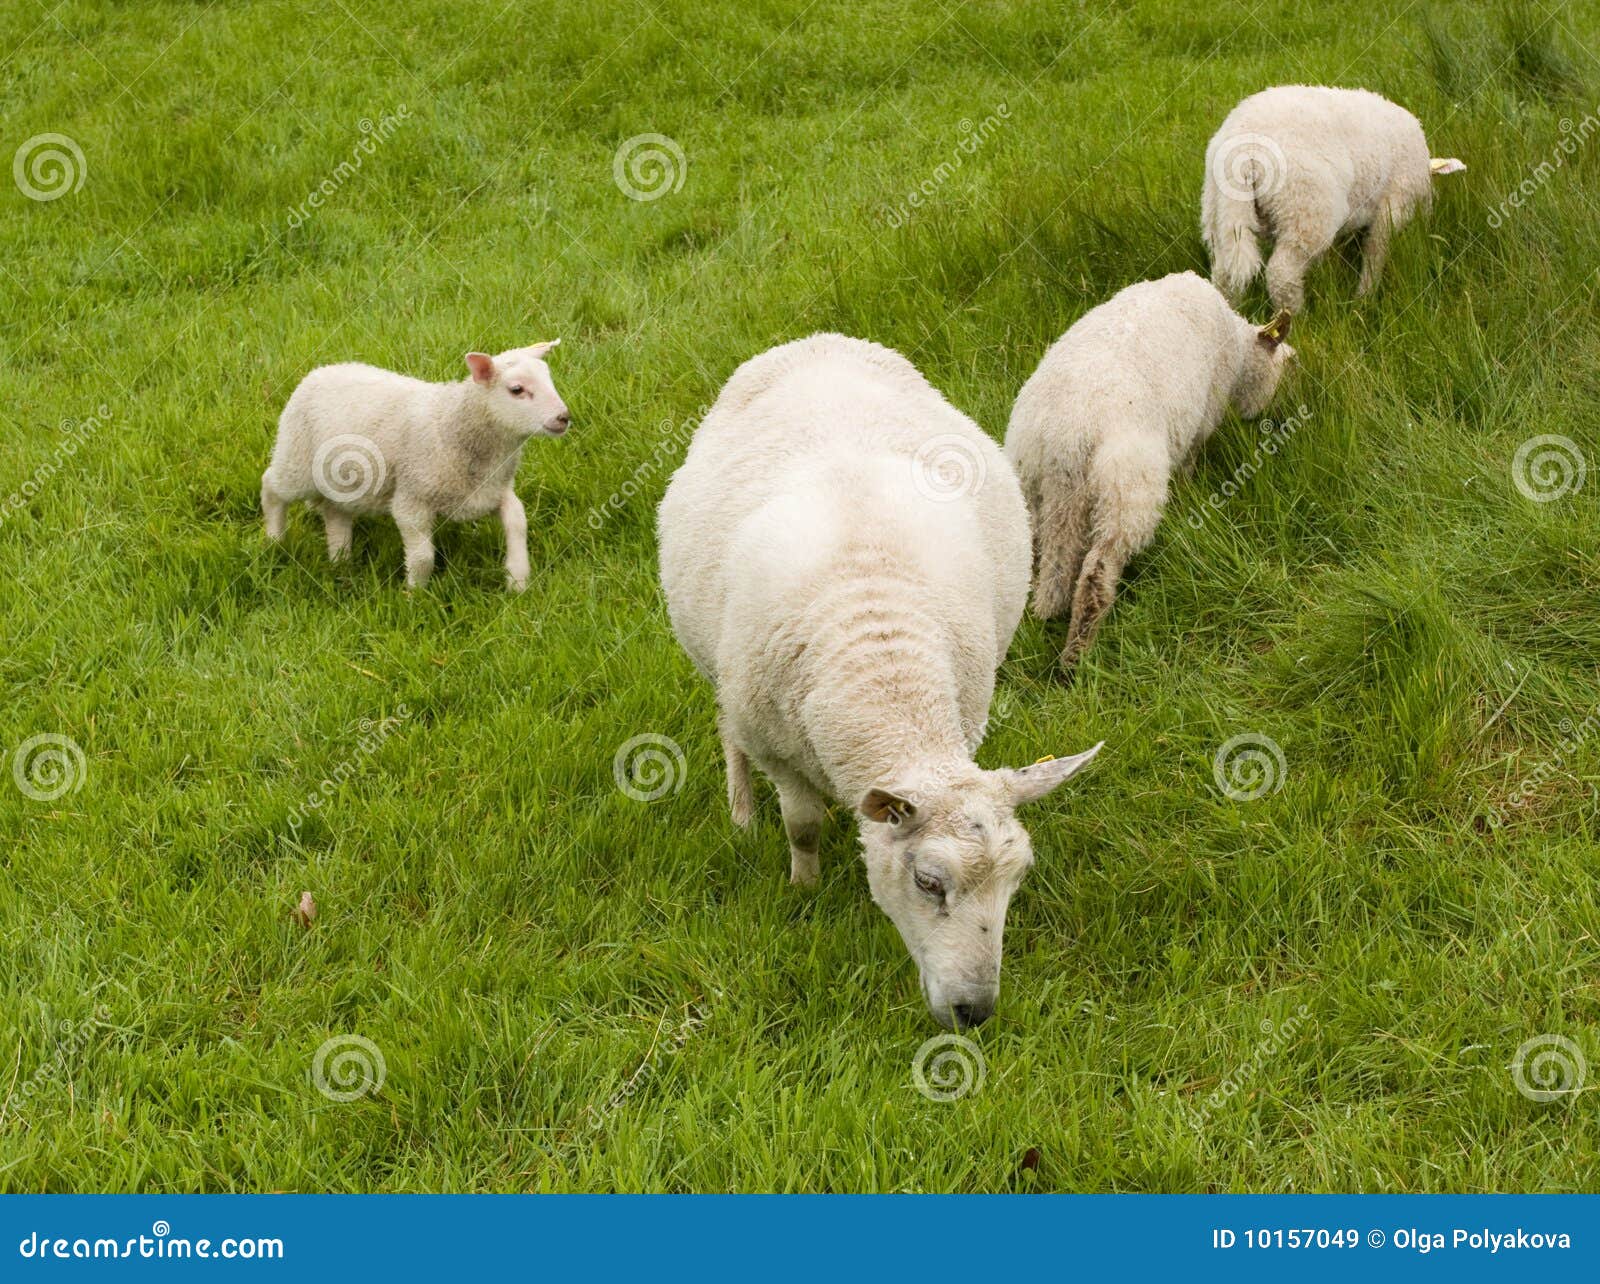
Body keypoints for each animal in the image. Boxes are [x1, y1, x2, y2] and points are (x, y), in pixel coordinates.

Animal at [261, 342, 570, 591]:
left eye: (550, 379)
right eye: (517, 390)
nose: (564, 417)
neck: (451, 425)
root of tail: (321, 370)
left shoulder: (493, 490)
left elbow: (518, 521)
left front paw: (517, 580)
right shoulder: (412, 499)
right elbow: (422, 558)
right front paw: (414, 595)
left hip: (342, 480)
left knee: (336, 513)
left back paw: (341, 560)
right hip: (296, 458)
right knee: (272, 487)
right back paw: (275, 541)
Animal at [658, 333, 1103, 1030]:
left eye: (1019, 879)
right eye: (928, 883)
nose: (975, 1012)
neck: (882, 660)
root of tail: (818, 338)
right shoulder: (776, 744)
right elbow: (802, 827)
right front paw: (804, 889)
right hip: (719, 666)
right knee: (727, 726)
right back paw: (741, 811)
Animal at [1004, 271, 1295, 670]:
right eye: (1287, 369)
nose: (1280, 418)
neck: (1238, 349)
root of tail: (1064, 441)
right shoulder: (1203, 418)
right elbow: (1189, 462)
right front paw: (1188, 492)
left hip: (1032, 487)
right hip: (1125, 491)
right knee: (1097, 573)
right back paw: (1076, 658)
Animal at [1202, 85, 1465, 313]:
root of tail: (1244, 146)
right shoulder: (1394, 205)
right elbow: (1377, 249)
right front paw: (1364, 296)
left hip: (1219, 209)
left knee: (1225, 273)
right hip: (1306, 206)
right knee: (1282, 273)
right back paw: (1297, 317)